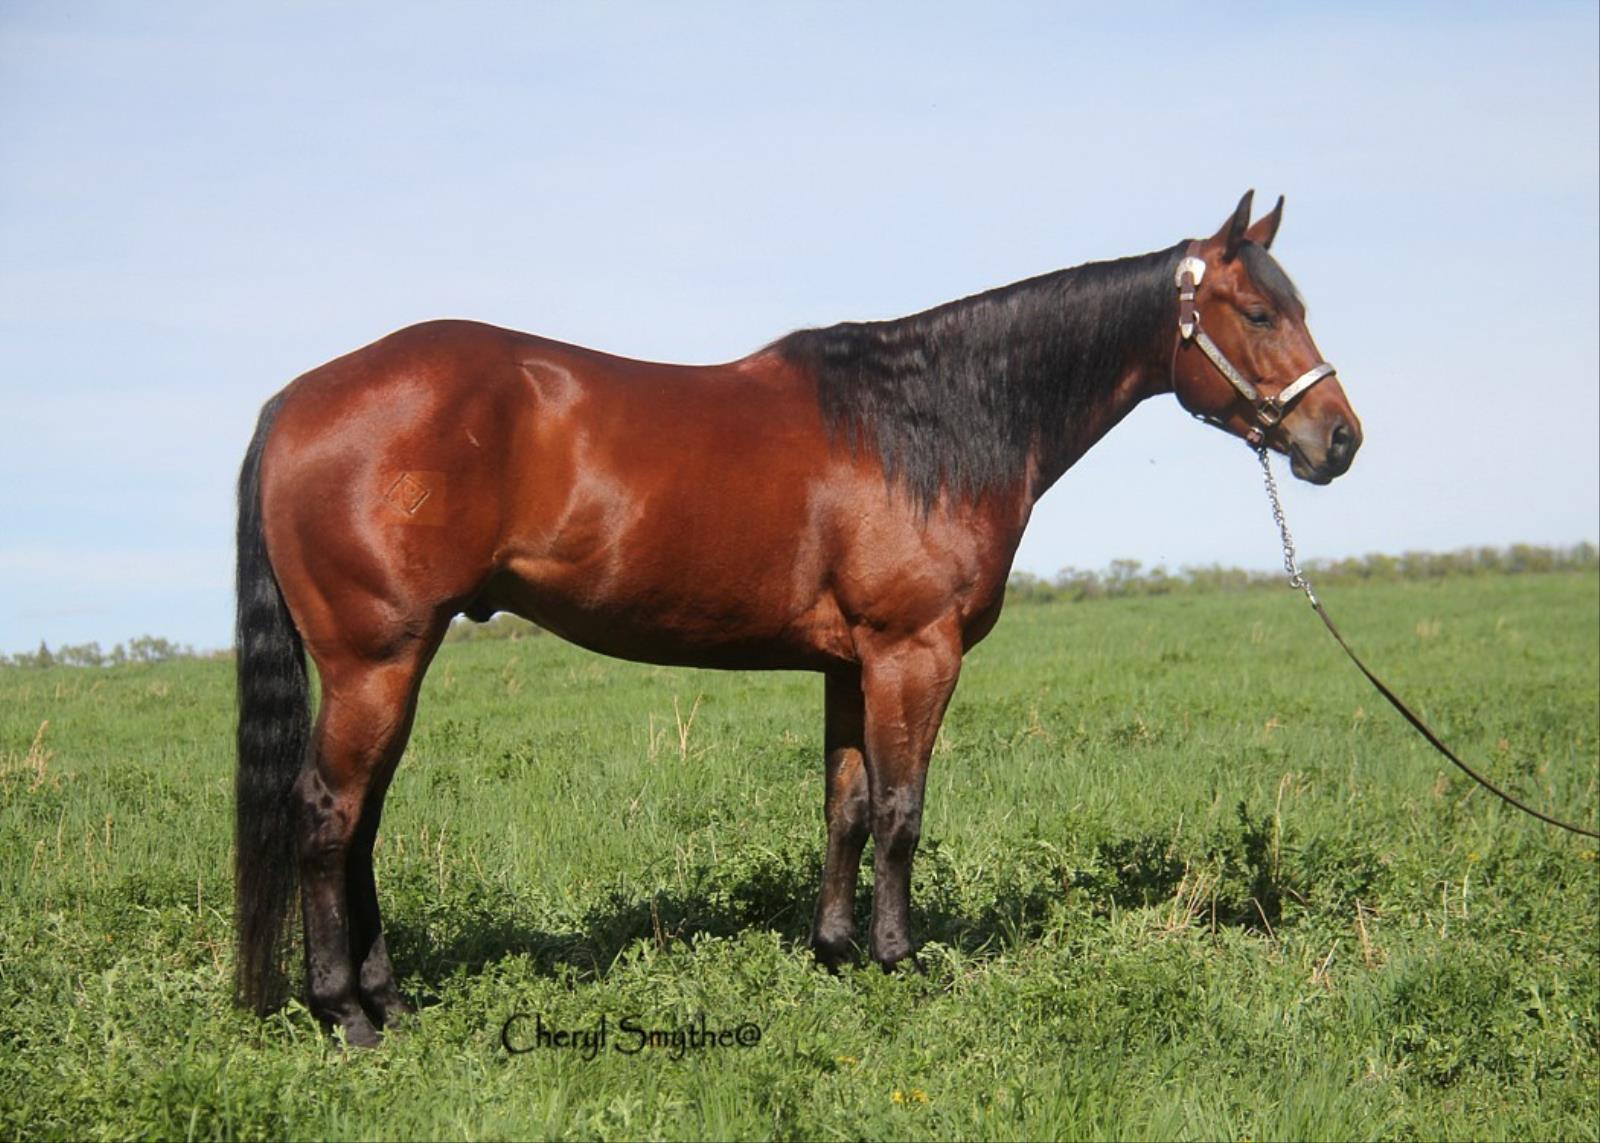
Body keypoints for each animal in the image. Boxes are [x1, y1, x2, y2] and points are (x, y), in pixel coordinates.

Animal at [234, 191, 1362, 1046]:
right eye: (1256, 312)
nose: (1339, 438)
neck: (927, 426)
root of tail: (294, 401)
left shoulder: (849, 664)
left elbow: (846, 807)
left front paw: (834, 955)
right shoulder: (914, 651)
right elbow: (902, 810)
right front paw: (900, 961)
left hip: (397, 661)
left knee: (363, 819)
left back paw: (389, 998)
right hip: (377, 657)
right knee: (329, 814)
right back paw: (346, 1014)